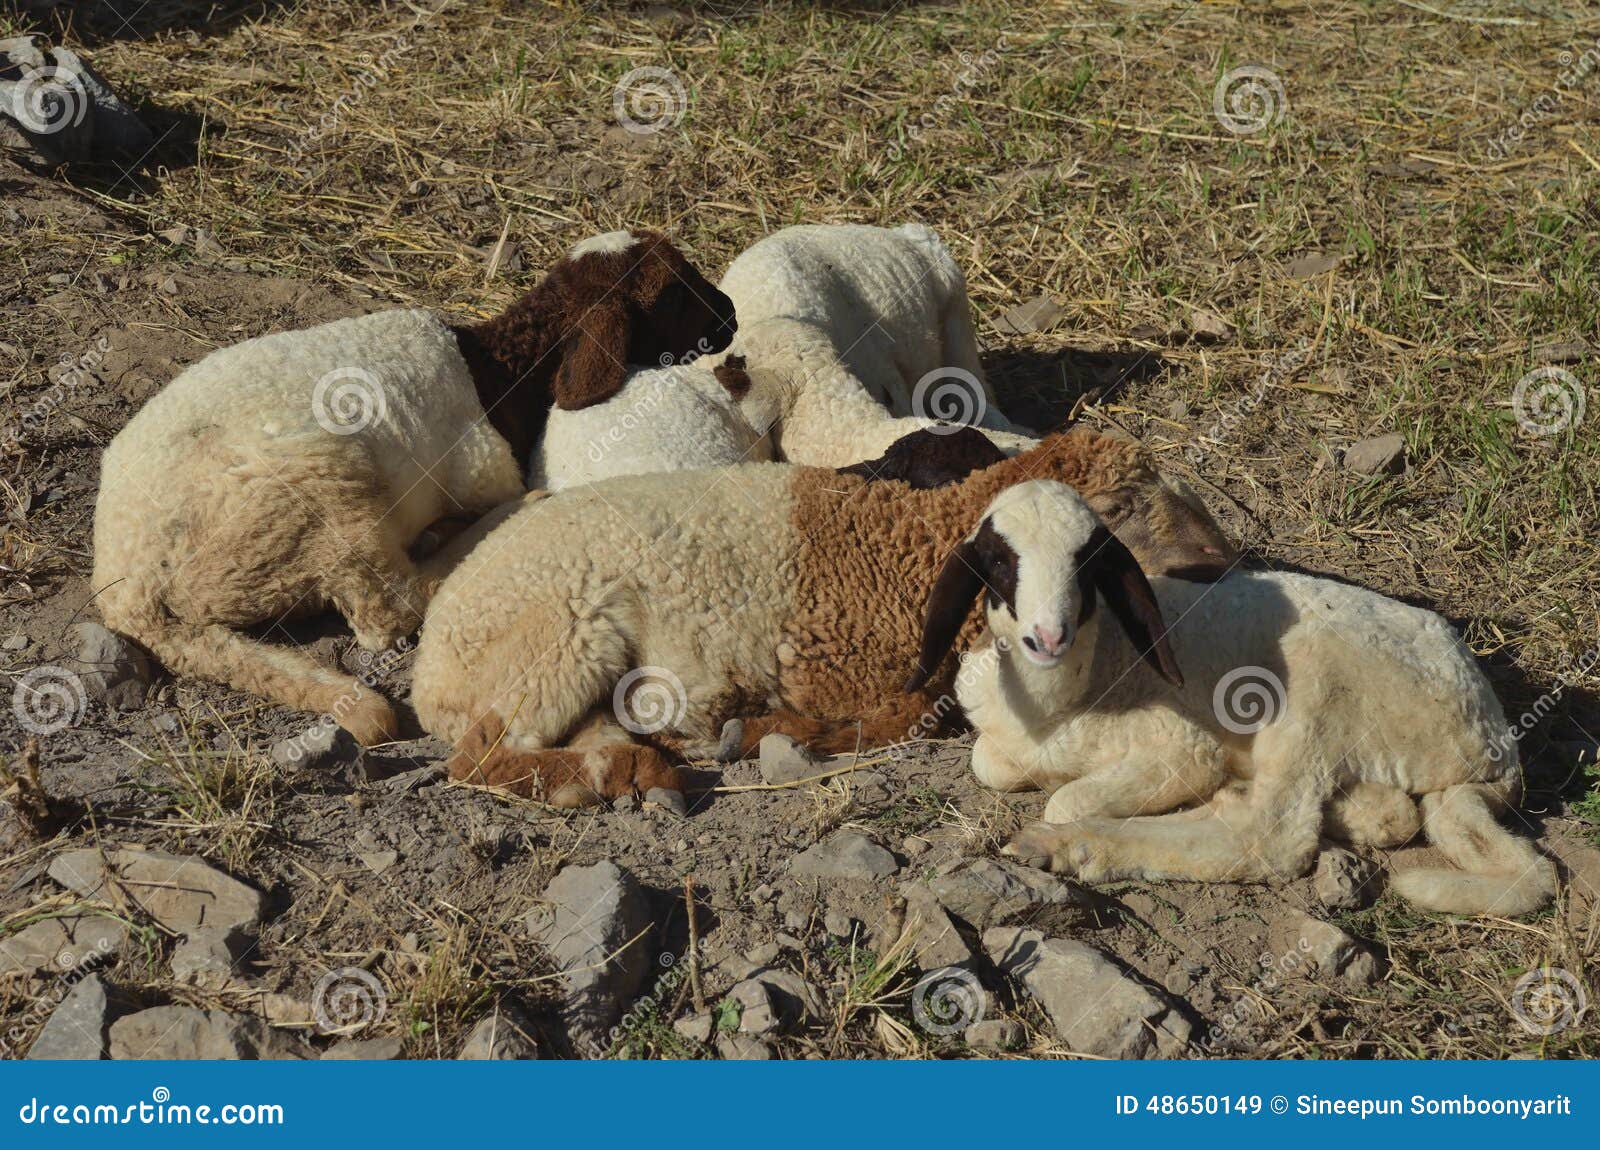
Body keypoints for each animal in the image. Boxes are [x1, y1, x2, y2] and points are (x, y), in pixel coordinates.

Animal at [92, 230, 736, 744]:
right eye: (675, 293)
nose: (729, 315)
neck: (502, 369)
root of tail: (130, 592)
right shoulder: (481, 466)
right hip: (318, 488)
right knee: (384, 610)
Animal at [409, 427, 1237, 807]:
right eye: (1122, 511)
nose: (1222, 558)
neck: (903, 544)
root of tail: (428, 672)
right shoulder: (831, 664)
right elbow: (897, 718)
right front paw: (765, 732)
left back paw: (636, 760)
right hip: (559, 637)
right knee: (479, 756)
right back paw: (612, 771)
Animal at [901, 479, 1555, 917]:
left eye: (1087, 563)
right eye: (998, 561)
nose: (1048, 636)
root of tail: (1496, 744)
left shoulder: (1181, 747)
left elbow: (1068, 797)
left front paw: (1067, 823)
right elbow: (988, 765)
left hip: (1314, 693)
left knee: (1272, 837)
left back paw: (1064, 847)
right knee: (1394, 814)